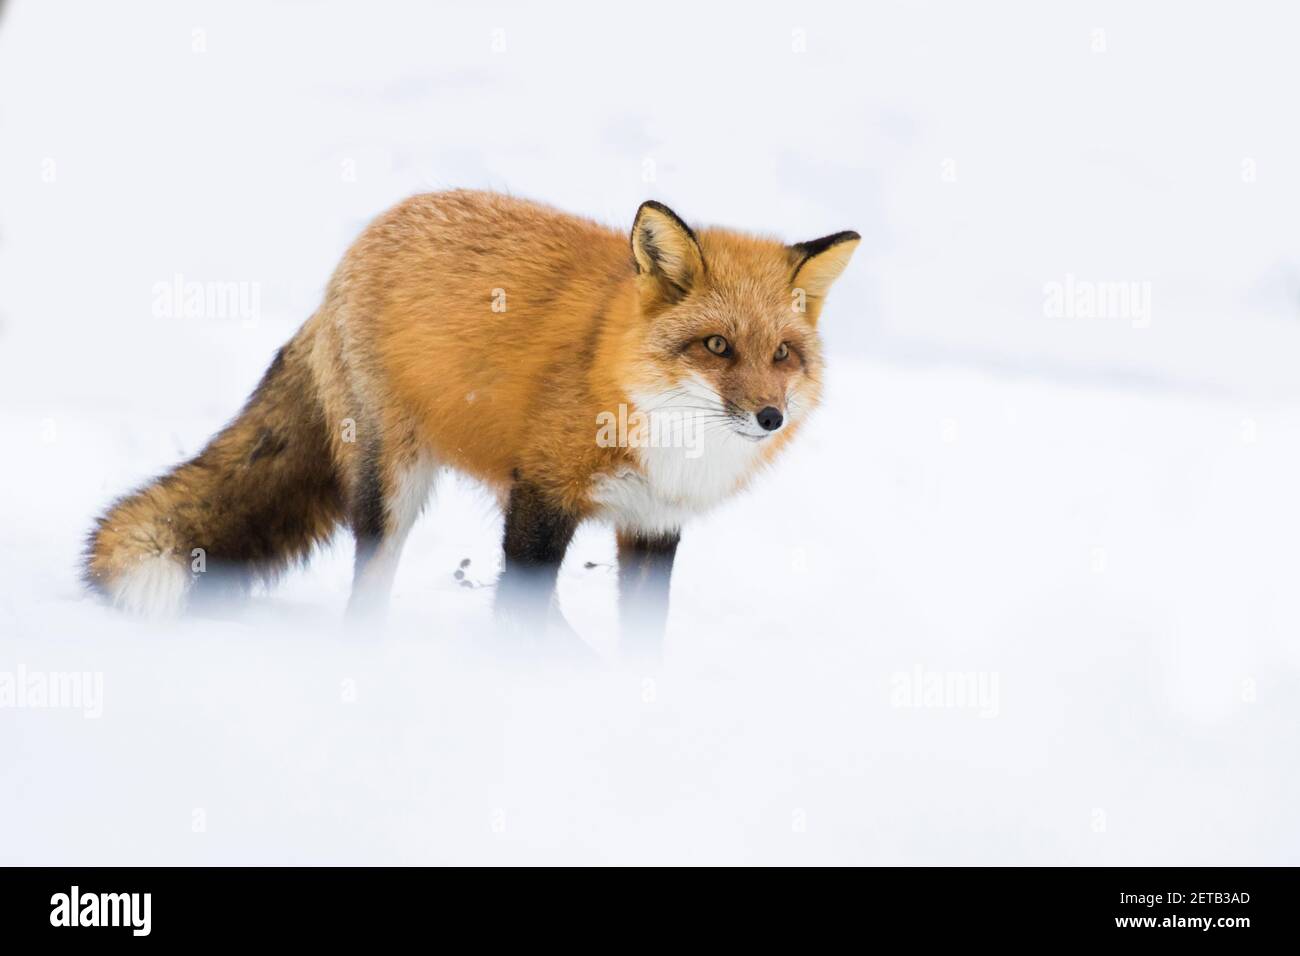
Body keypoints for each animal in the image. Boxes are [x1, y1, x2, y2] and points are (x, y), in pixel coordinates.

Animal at [84, 190, 858, 642]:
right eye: (717, 346)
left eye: (783, 354)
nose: (769, 416)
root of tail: (363, 240)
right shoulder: (541, 494)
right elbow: (522, 608)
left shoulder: (652, 524)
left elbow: (641, 637)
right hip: (392, 487)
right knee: (369, 586)